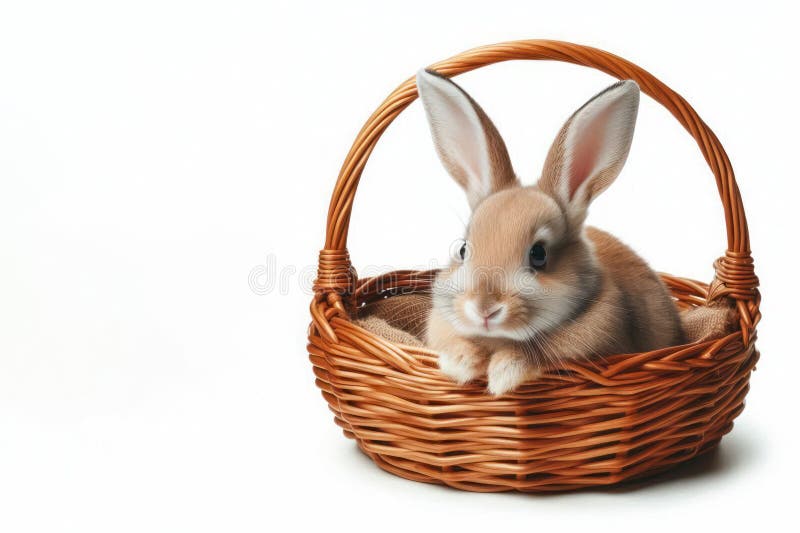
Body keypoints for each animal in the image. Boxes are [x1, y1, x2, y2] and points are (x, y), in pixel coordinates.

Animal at [416, 69, 686, 396]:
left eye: (539, 254)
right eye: (463, 249)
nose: (484, 309)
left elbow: (537, 352)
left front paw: (503, 373)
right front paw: (460, 363)